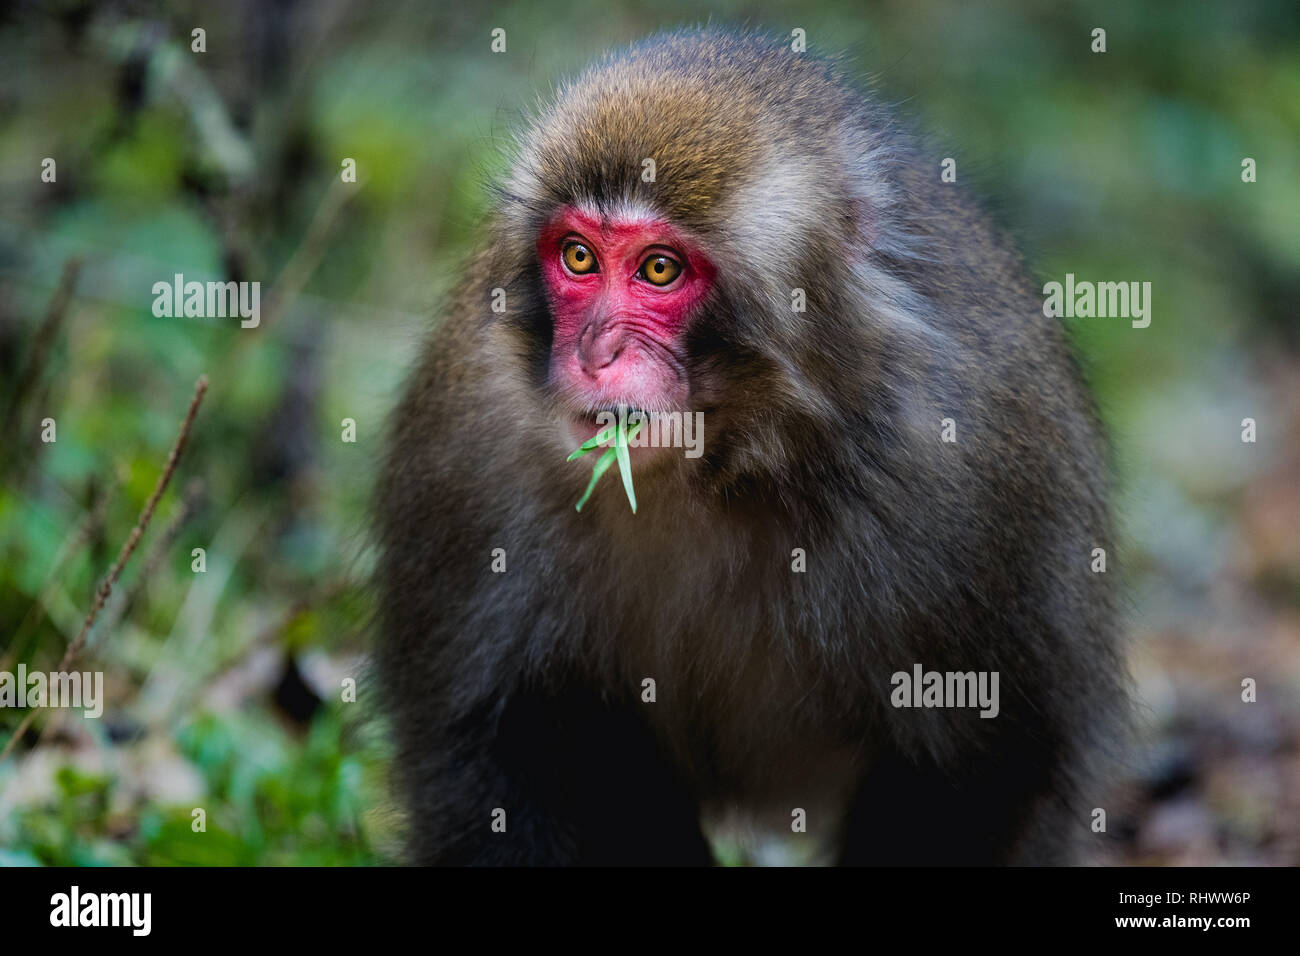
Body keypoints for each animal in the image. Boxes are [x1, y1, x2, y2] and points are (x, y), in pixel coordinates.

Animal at [372, 28, 1127, 866]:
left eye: (659, 268)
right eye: (578, 257)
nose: (595, 353)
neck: (729, 460)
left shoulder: (968, 478)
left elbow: (985, 767)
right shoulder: (471, 450)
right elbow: (498, 745)